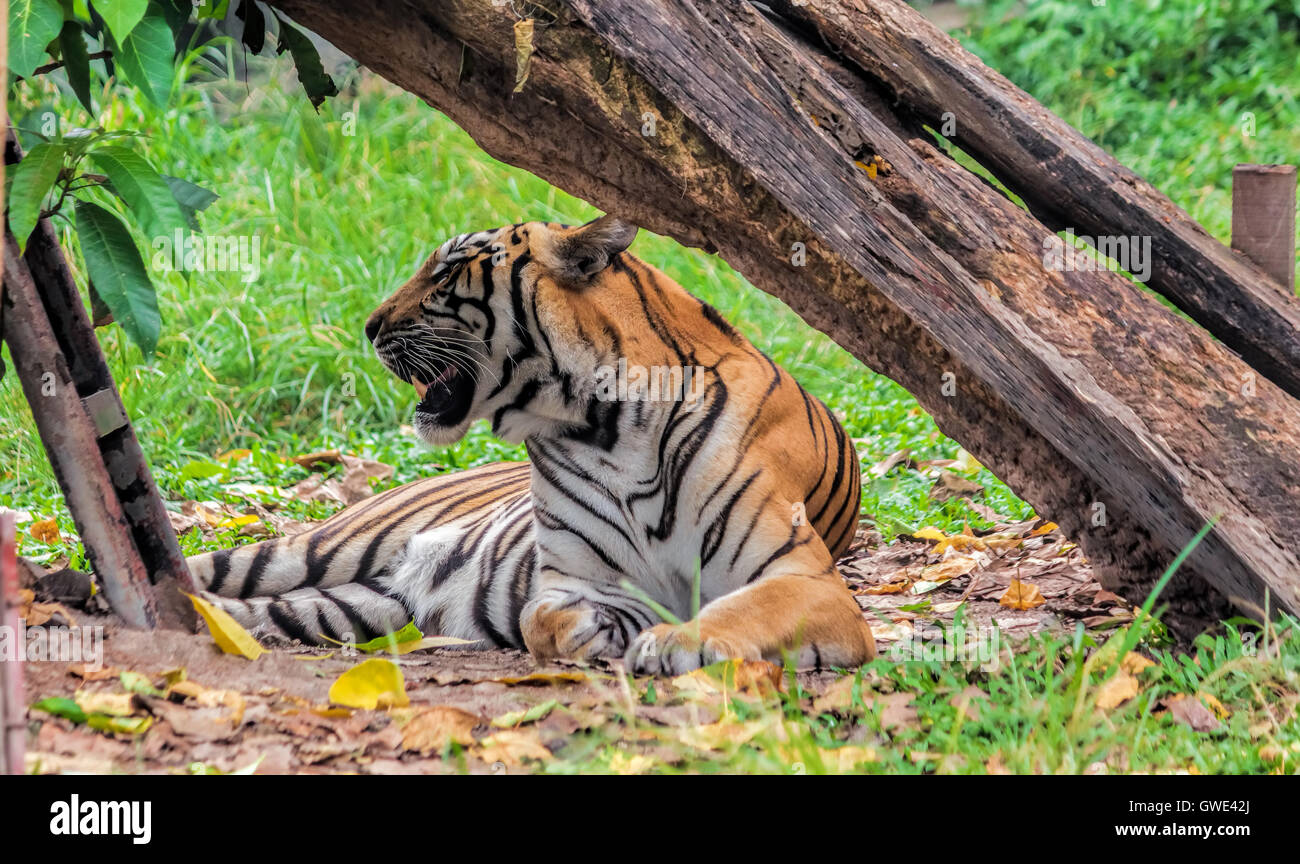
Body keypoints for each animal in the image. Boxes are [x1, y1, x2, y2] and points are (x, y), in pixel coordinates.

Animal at [187, 216, 876, 674]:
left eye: (445, 270)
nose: (369, 326)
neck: (603, 429)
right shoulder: (573, 578)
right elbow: (539, 616)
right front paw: (601, 632)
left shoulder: (808, 578)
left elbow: (746, 609)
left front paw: (675, 640)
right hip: (312, 550)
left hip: (349, 607)